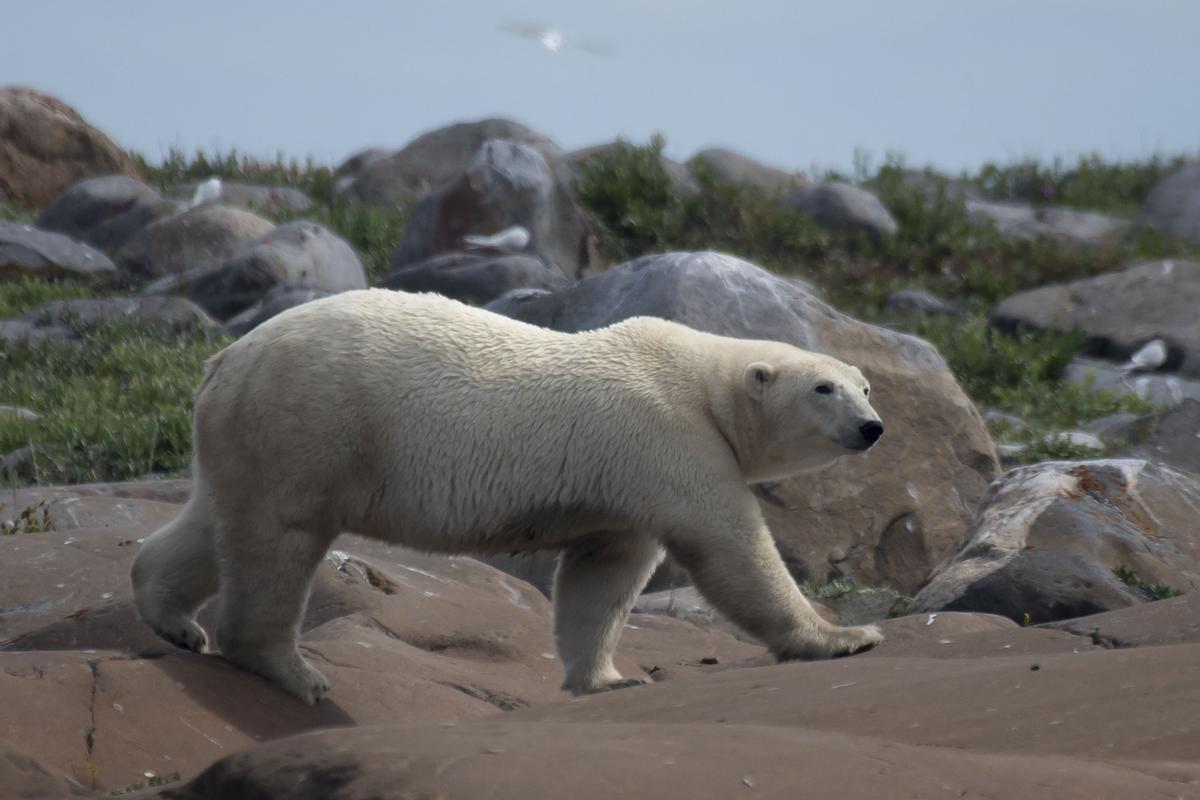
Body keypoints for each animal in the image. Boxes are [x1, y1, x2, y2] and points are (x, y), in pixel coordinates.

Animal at [130, 288, 885, 704]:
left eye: (865, 385)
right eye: (824, 388)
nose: (872, 427)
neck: (701, 380)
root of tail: (225, 359)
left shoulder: (626, 481)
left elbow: (603, 574)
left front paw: (609, 679)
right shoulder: (668, 438)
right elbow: (732, 549)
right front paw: (846, 637)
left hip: (250, 433)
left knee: (216, 522)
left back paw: (173, 618)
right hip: (311, 420)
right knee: (280, 540)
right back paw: (292, 671)